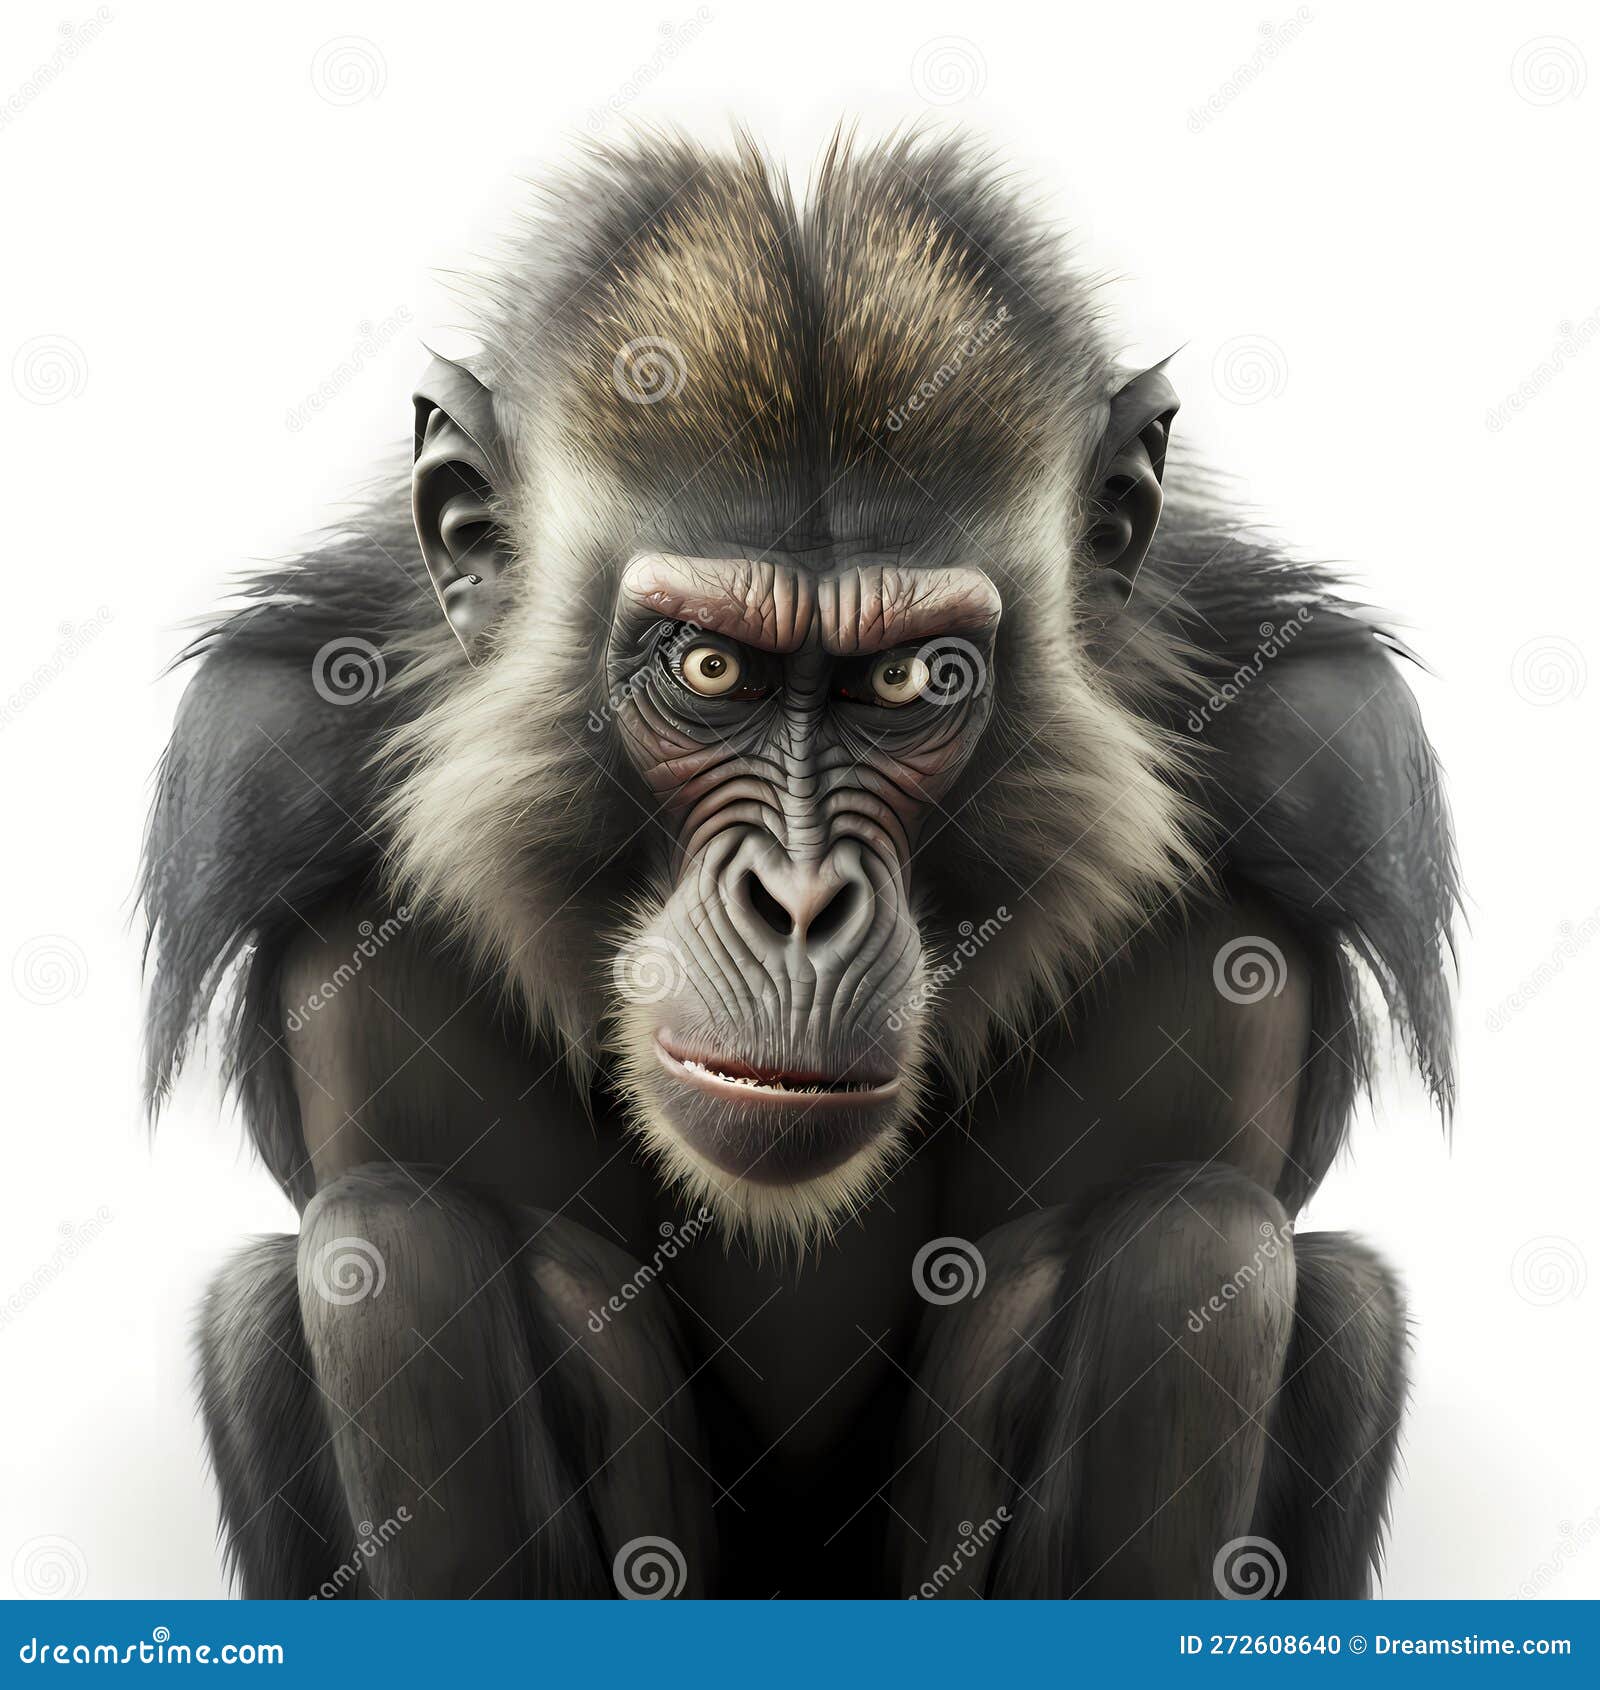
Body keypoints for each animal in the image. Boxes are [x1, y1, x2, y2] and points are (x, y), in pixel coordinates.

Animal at [140, 128, 1456, 1600]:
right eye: (711, 666)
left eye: (910, 678)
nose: (801, 898)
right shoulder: (274, 774)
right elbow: (393, 1244)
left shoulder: (1317, 774)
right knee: (389, 1241)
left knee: (1197, 1239)